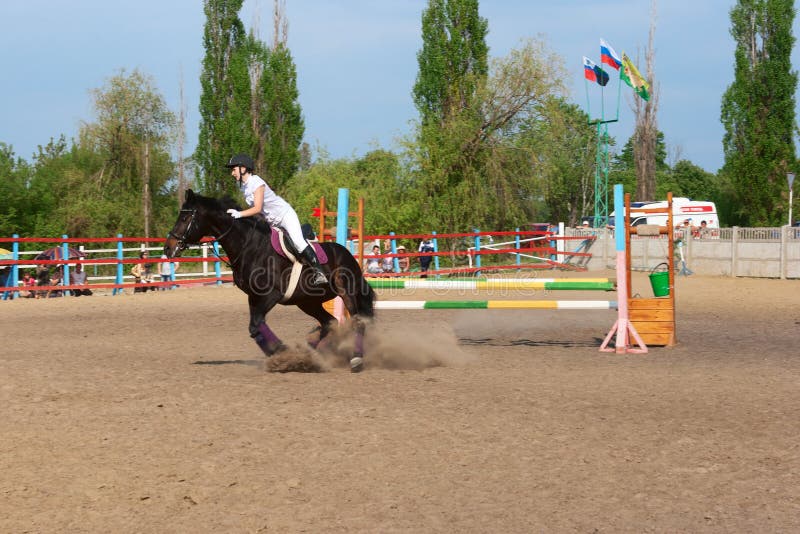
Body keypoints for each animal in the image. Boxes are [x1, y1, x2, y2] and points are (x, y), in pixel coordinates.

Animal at [163, 190, 376, 372]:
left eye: (185, 218)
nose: (168, 248)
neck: (248, 246)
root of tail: (346, 253)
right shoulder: (253, 297)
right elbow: (255, 327)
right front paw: (283, 354)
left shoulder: (271, 295)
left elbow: (256, 324)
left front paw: (280, 350)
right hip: (307, 302)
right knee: (329, 322)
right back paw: (310, 353)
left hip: (346, 292)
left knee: (357, 322)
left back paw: (356, 359)